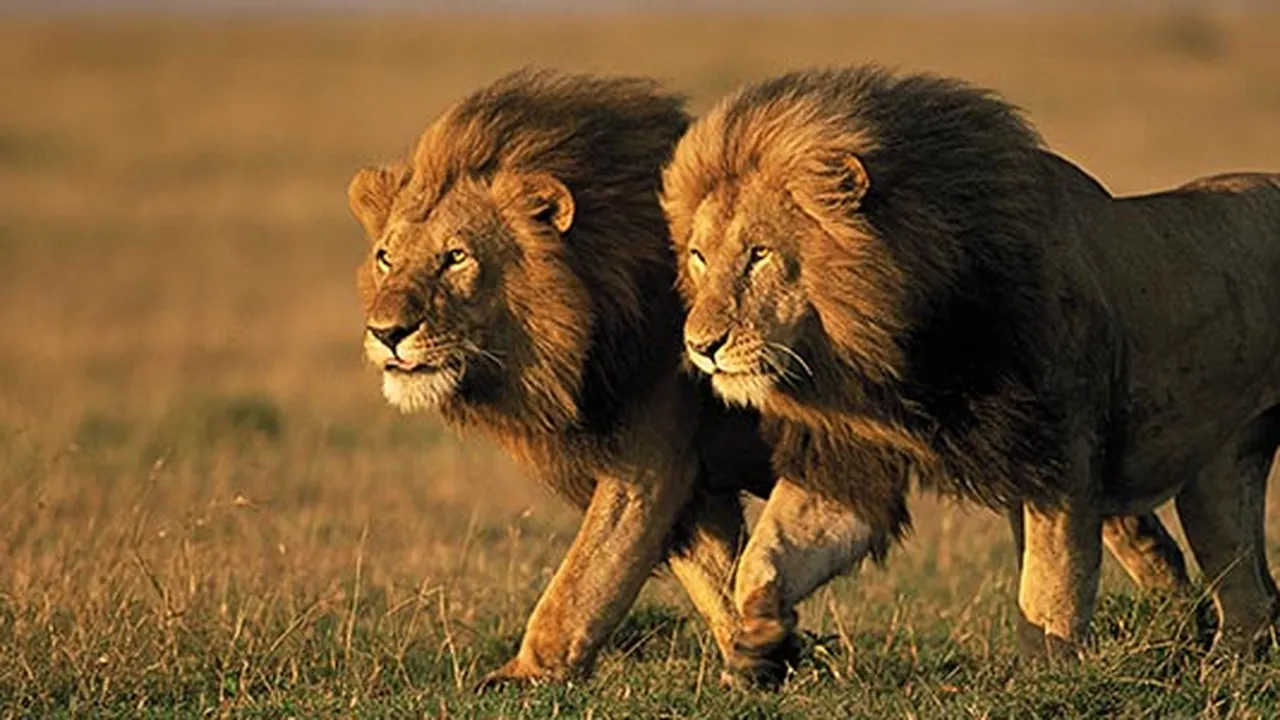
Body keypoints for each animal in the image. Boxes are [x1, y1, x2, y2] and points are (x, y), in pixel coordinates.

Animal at [346, 69, 787, 688]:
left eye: (455, 257)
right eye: (385, 257)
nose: (387, 332)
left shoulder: (650, 461)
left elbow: (586, 578)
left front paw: (525, 674)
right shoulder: (693, 482)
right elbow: (719, 578)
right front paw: (763, 662)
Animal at [662, 65, 1279, 669]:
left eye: (759, 254)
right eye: (699, 256)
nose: (699, 345)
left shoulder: (1063, 455)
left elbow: (1050, 586)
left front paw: (1048, 679)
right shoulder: (852, 454)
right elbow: (765, 559)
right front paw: (759, 643)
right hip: (1218, 480)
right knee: (1251, 596)